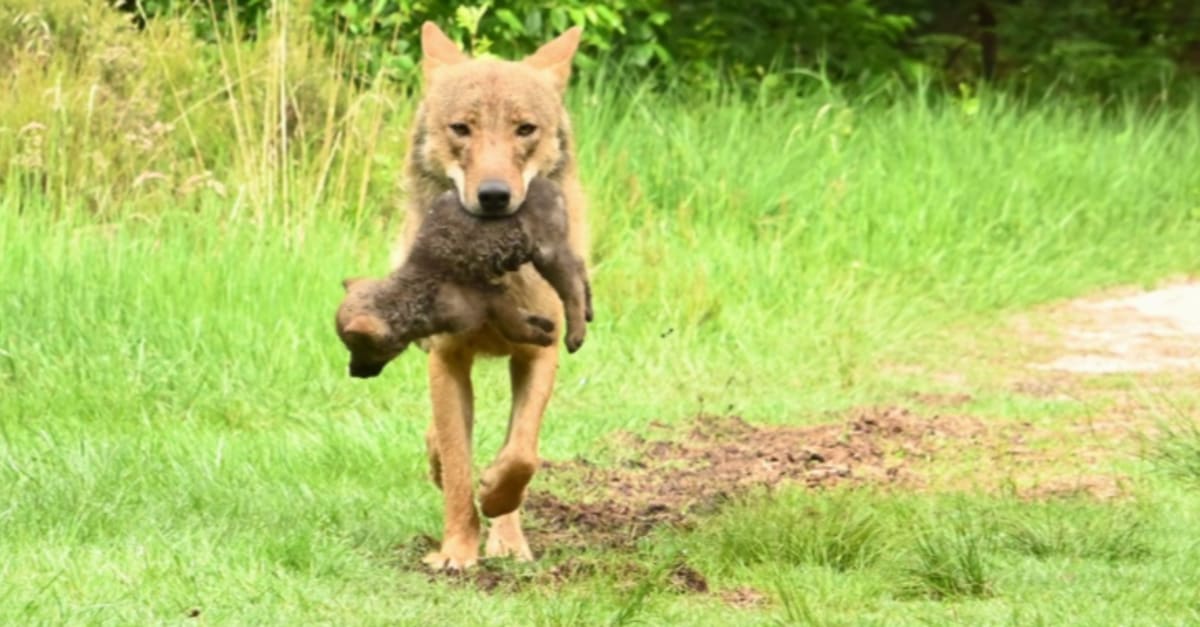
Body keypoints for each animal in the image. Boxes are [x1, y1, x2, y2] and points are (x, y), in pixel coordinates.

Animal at [336, 176, 592, 378]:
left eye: (355, 347)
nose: (353, 372)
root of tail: (548, 183)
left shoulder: (484, 301)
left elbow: (515, 328)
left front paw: (542, 338)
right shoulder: (495, 295)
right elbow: (521, 319)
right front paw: (542, 325)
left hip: (546, 251)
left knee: (572, 287)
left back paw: (576, 335)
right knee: (580, 268)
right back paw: (588, 311)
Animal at [393, 22, 590, 569]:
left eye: (525, 130)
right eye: (462, 129)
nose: (495, 195)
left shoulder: (540, 352)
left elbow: (521, 454)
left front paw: (499, 507)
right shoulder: (447, 359)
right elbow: (460, 466)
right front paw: (456, 554)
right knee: (440, 442)